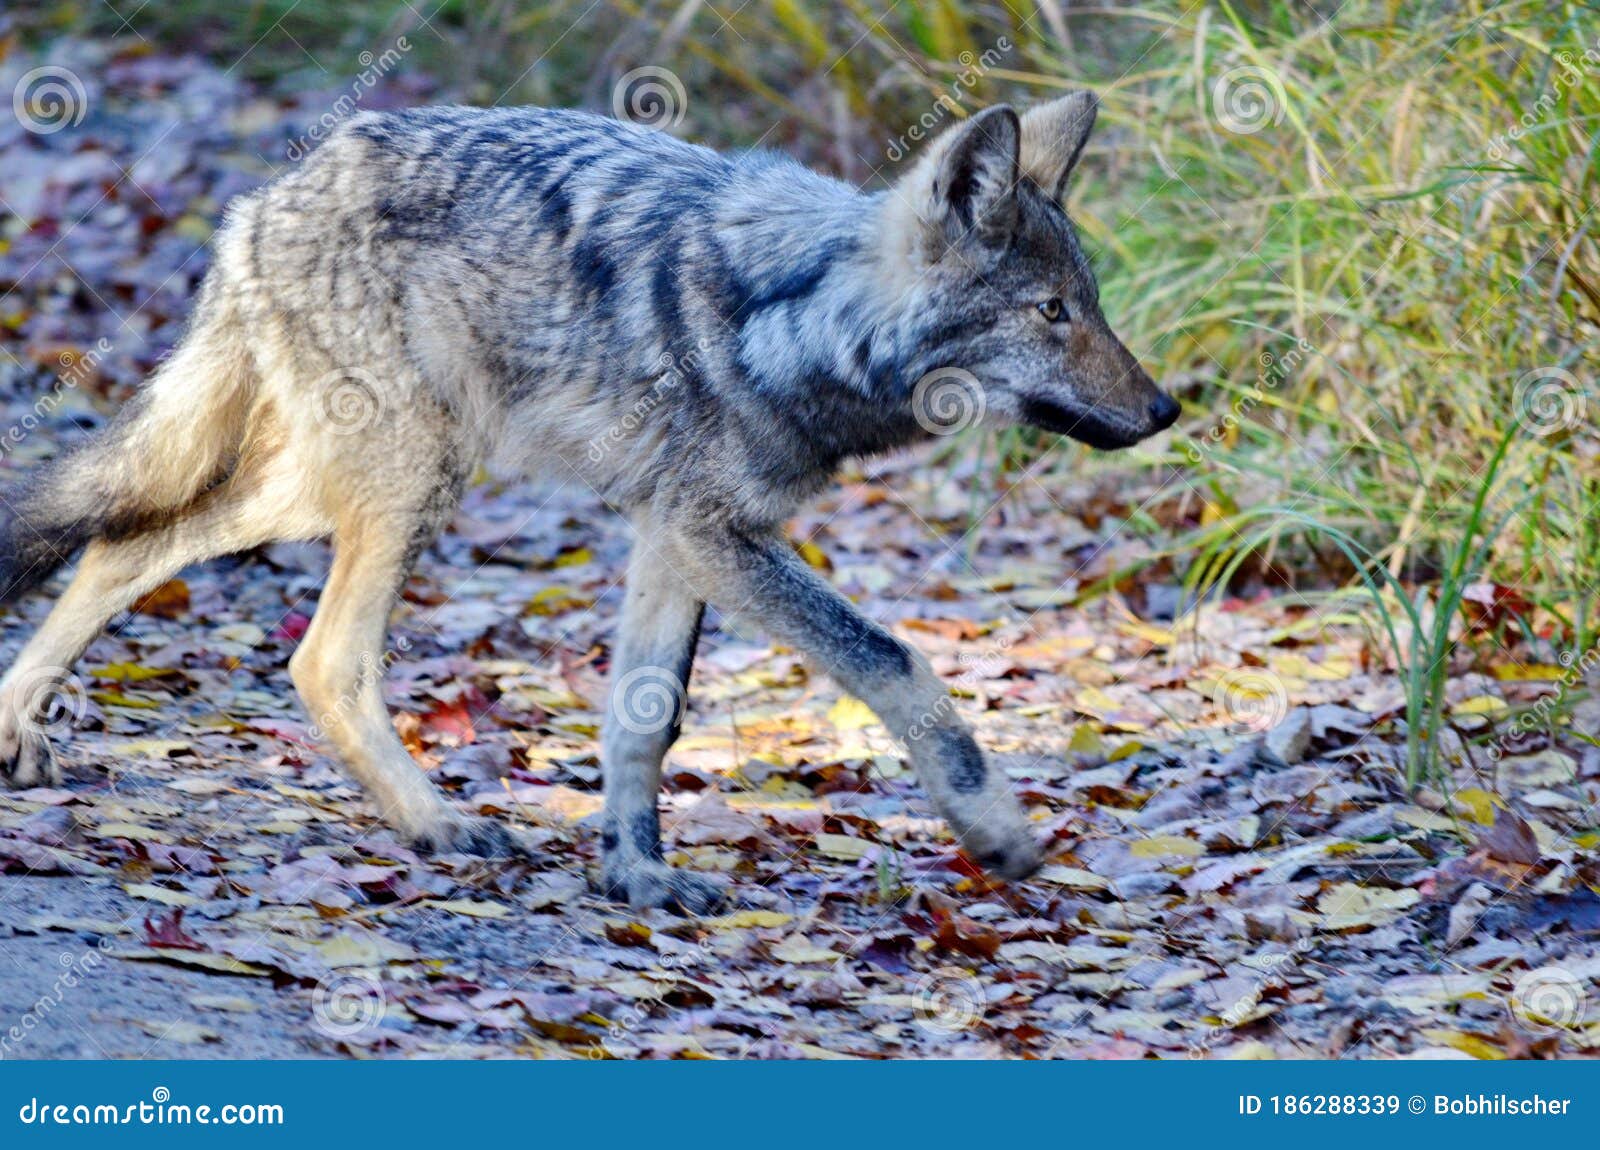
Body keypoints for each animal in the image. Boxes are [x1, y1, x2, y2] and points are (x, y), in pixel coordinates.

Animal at [0, 92, 1177, 911]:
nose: (1165, 409)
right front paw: (995, 830)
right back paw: (438, 826)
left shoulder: (676, 534)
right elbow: (899, 662)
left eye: (1091, 305)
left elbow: (644, 721)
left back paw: (16, 729)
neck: (796, 320)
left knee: (121, 542)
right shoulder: (713, 534)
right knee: (319, 657)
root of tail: (265, 201)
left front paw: (637, 876)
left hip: (321, 489)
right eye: (1052, 311)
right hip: (410, 480)